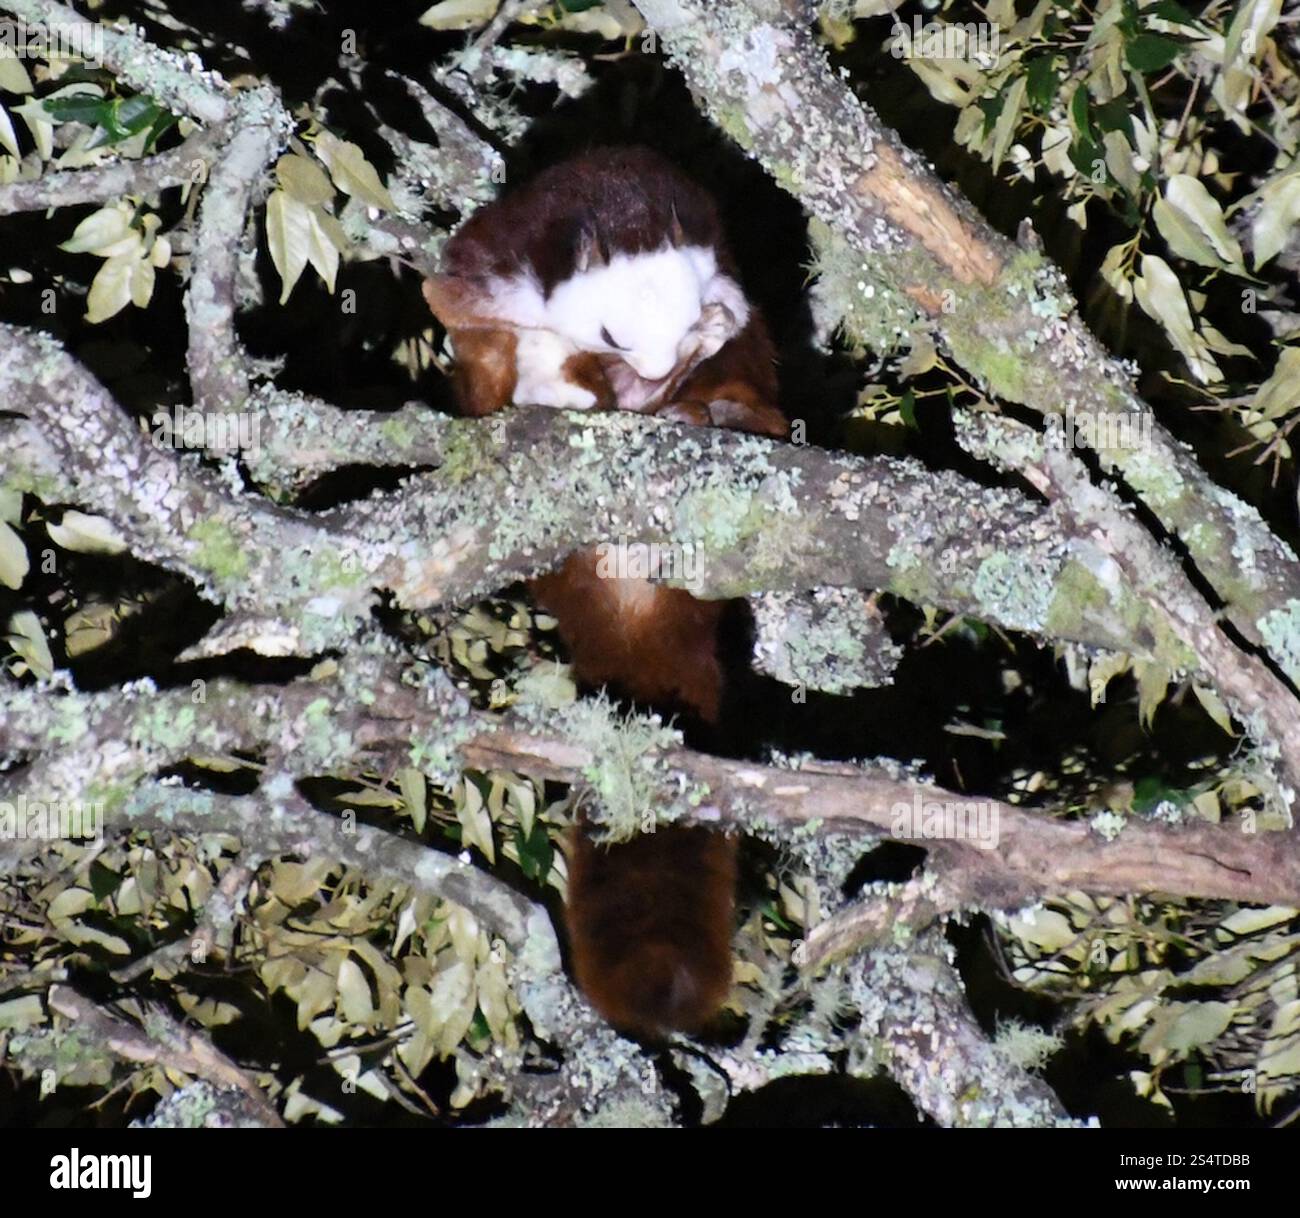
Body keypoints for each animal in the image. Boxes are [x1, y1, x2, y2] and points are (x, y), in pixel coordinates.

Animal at [423, 145, 786, 1037]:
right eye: (617, 326)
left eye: (678, 316)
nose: (652, 363)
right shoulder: (503, 257)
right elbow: (469, 321)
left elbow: (738, 317)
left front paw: (701, 345)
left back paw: (699, 408)